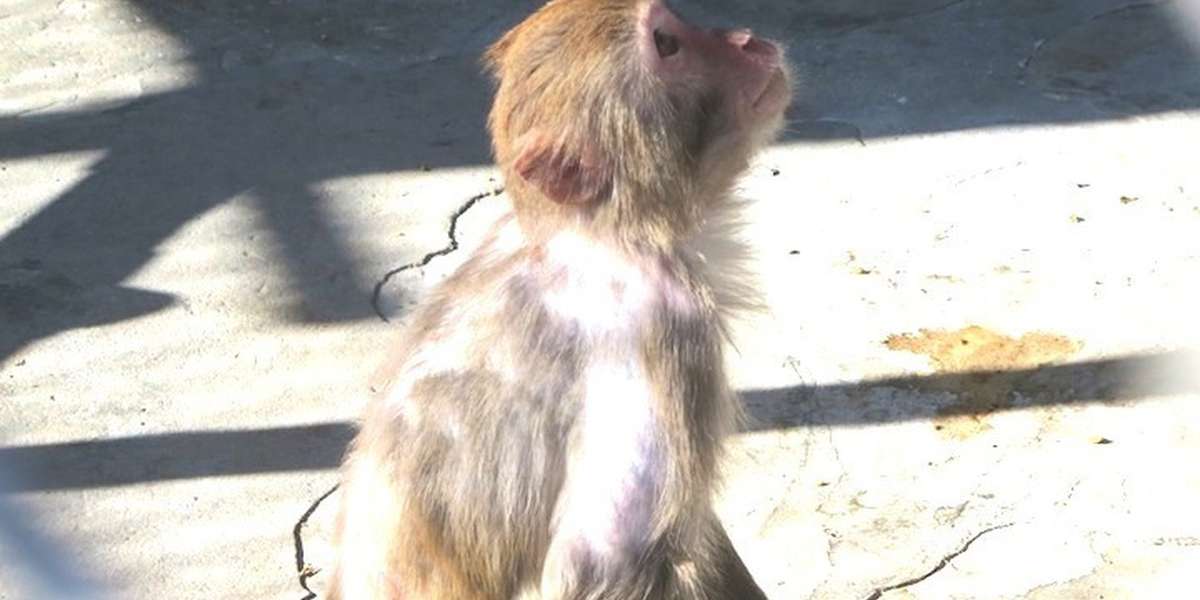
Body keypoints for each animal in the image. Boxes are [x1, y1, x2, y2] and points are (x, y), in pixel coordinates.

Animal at [328, 1, 791, 598]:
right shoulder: (659, 322)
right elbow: (599, 561)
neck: (599, 232)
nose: (743, 40)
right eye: (666, 43)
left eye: (677, 20)